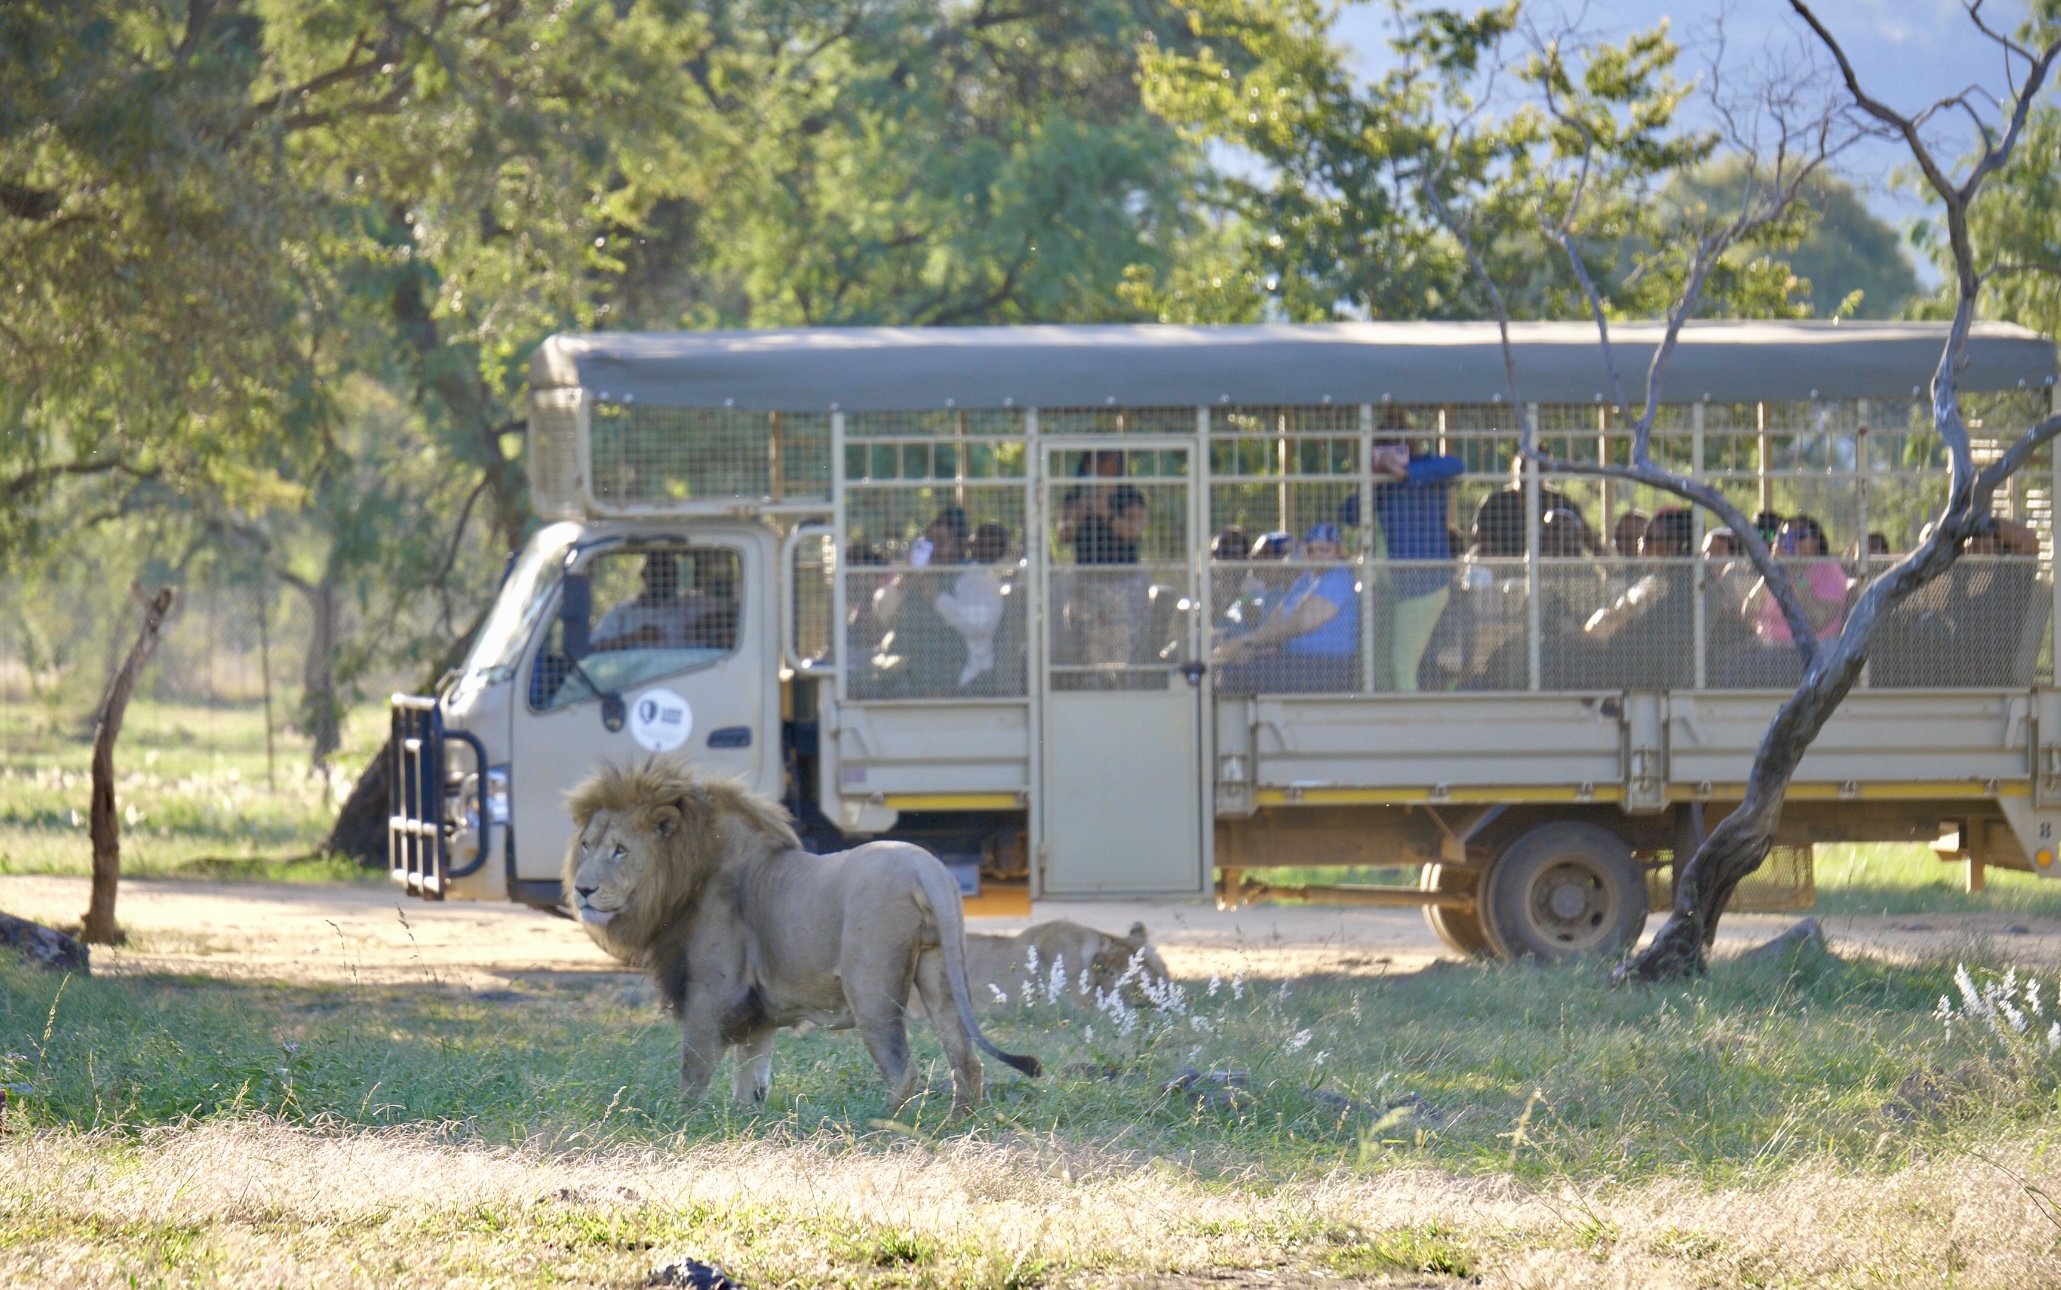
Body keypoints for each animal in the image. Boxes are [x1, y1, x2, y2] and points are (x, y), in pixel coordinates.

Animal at [564, 758, 1040, 1116]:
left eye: (620, 850)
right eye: (586, 845)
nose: (582, 890)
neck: (685, 877)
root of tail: (928, 868)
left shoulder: (711, 995)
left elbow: (692, 1073)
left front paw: (683, 1124)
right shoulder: (756, 1014)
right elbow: (750, 1081)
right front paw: (745, 1126)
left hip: (872, 986)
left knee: (902, 1069)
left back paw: (886, 1127)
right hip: (939, 970)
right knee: (965, 1057)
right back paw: (962, 1123)